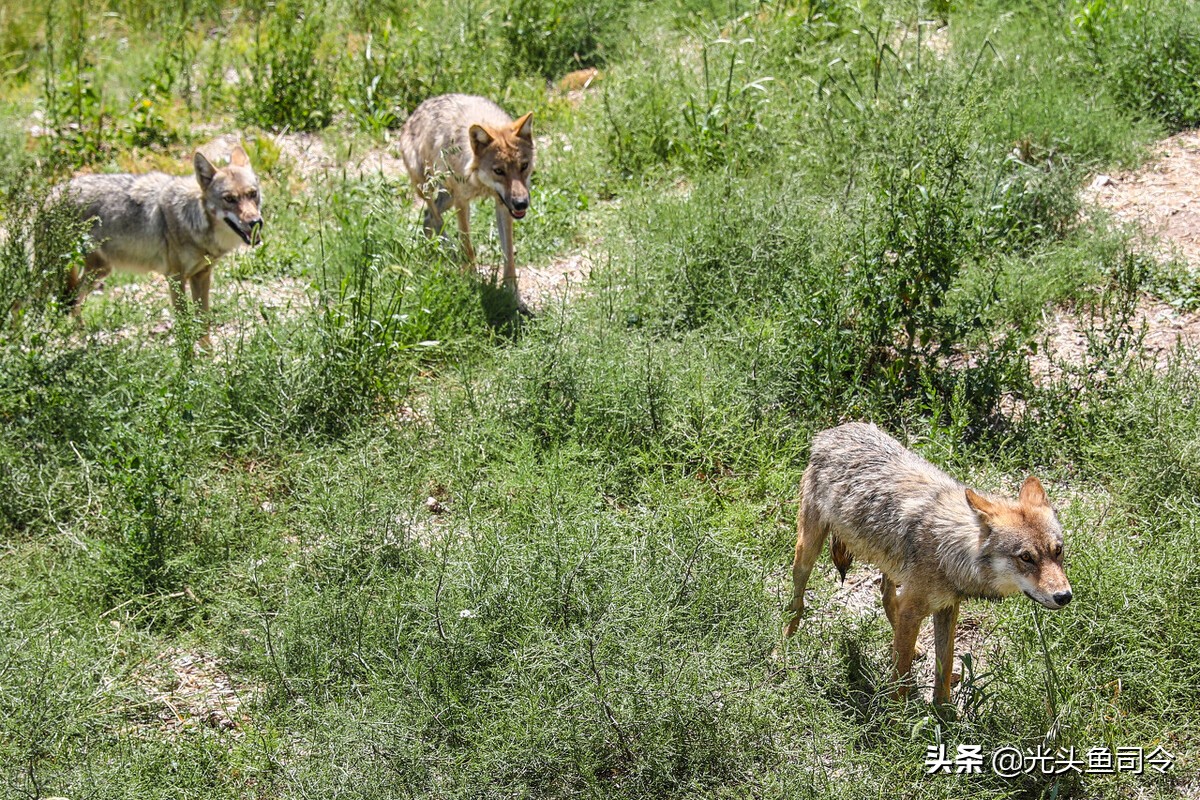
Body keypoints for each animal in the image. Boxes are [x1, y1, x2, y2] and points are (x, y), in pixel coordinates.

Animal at [59, 144, 263, 347]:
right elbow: (185, 328)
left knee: (72, 302)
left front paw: (208, 356)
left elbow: (203, 325)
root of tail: (54, 192)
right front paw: (187, 356)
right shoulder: (175, 278)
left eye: (252, 194)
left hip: (100, 271)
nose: (256, 222)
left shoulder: (201, 275)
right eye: (229, 199)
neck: (193, 220)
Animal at [398, 94, 533, 311]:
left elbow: (509, 257)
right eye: (499, 171)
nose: (521, 204)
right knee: (435, 218)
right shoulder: (462, 202)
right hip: (427, 187)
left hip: (447, 197)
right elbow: (468, 246)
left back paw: (433, 252)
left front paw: (515, 298)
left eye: (524, 166)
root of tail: (413, 114)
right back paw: (448, 251)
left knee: (428, 218)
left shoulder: (503, 206)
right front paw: (472, 281)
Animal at [783, 422, 1072, 707]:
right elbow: (901, 672)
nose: (1065, 596)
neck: (951, 547)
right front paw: (897, 712)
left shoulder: (947, 607)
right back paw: (786, 640)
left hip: (892, 567)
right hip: (807, 551)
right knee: (798, 599)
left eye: (1057, 551)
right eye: (1026, 557)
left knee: (887, 597)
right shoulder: (915, 609)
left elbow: (945, 663)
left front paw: (944, 712)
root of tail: (833, 431)